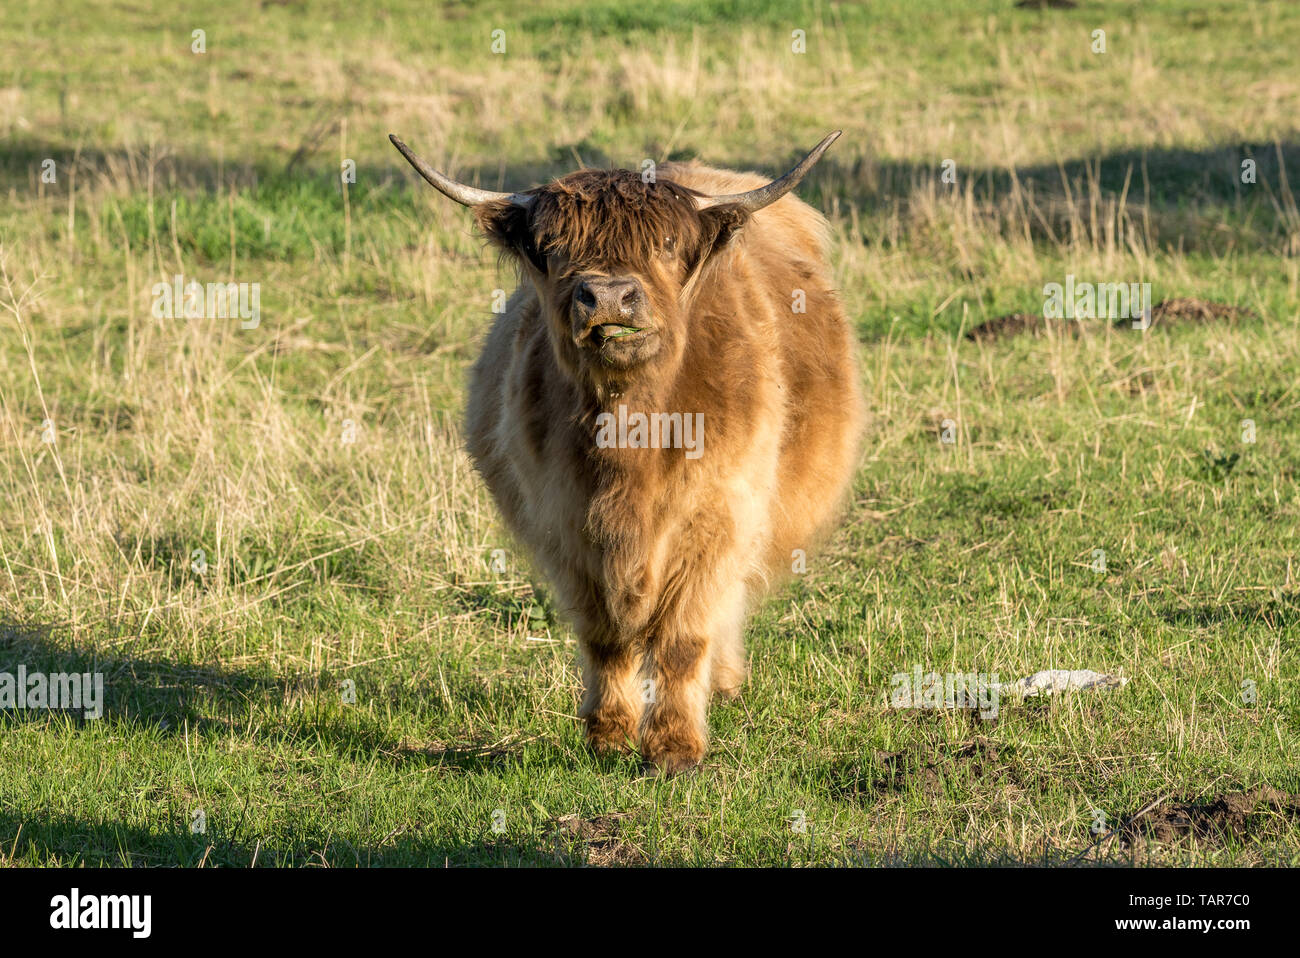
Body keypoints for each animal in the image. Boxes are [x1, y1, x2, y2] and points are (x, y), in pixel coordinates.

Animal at [391, 132, 864, 774]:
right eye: (552, 247)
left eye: (665, 244)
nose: (609, 296)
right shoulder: (566, 524)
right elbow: (605, 636)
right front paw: (608, 735)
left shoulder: (718, 515)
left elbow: (684, 636)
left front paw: (674, 749)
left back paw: (724, 683)